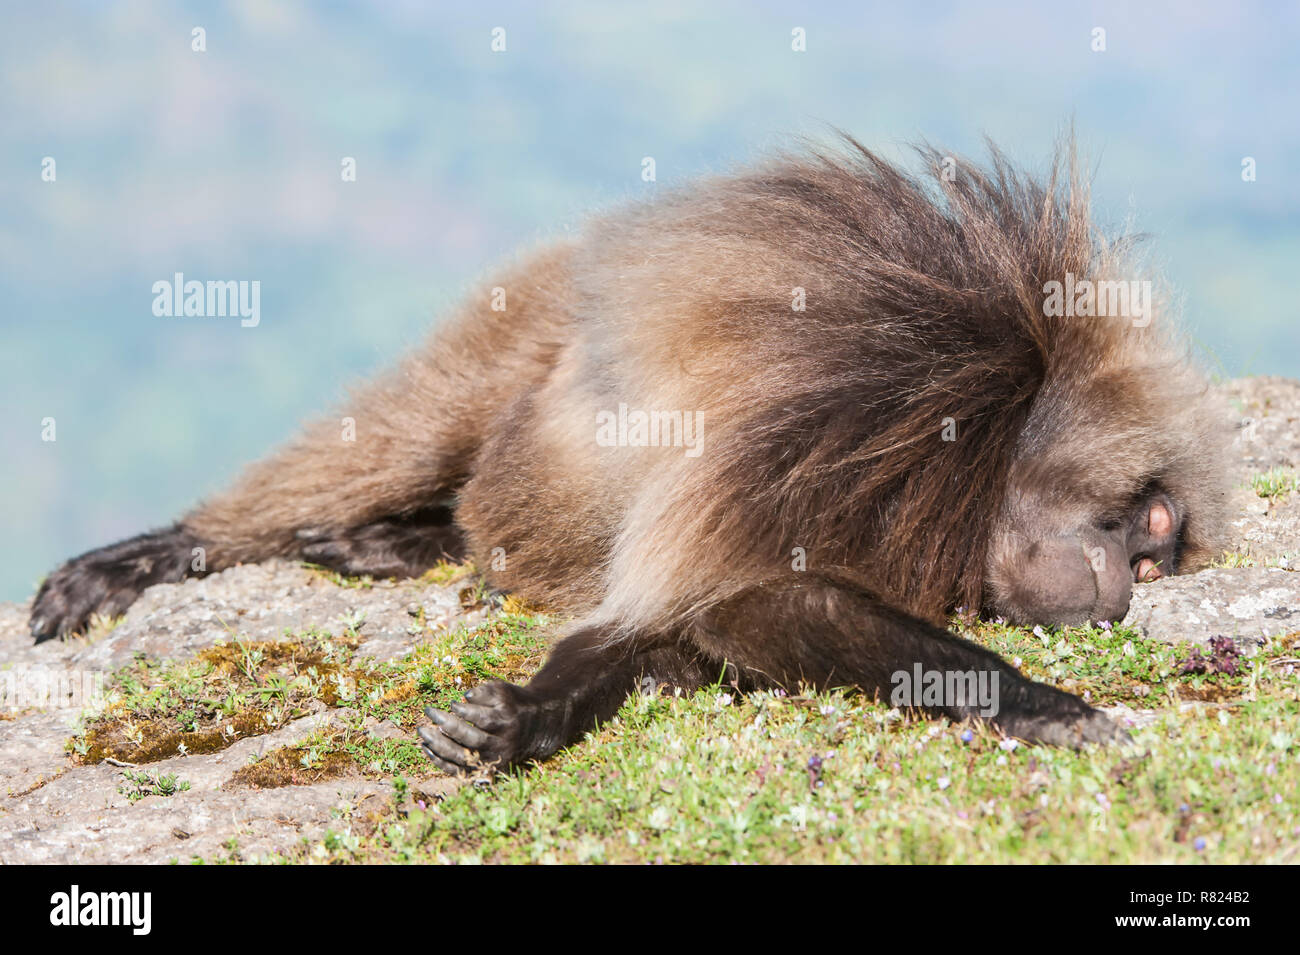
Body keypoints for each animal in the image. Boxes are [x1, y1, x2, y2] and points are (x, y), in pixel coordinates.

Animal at [27, 135, 1229, 774]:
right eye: (1140, 522)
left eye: (1155, 551)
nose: (1127, 581)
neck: (978, 452)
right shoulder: (853, 404)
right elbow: (740, 588)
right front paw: (1043, 703)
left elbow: (709, 619)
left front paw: (534, 713)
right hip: (518, 323)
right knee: (407, 433)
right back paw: (164, 550)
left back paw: (393, 545)